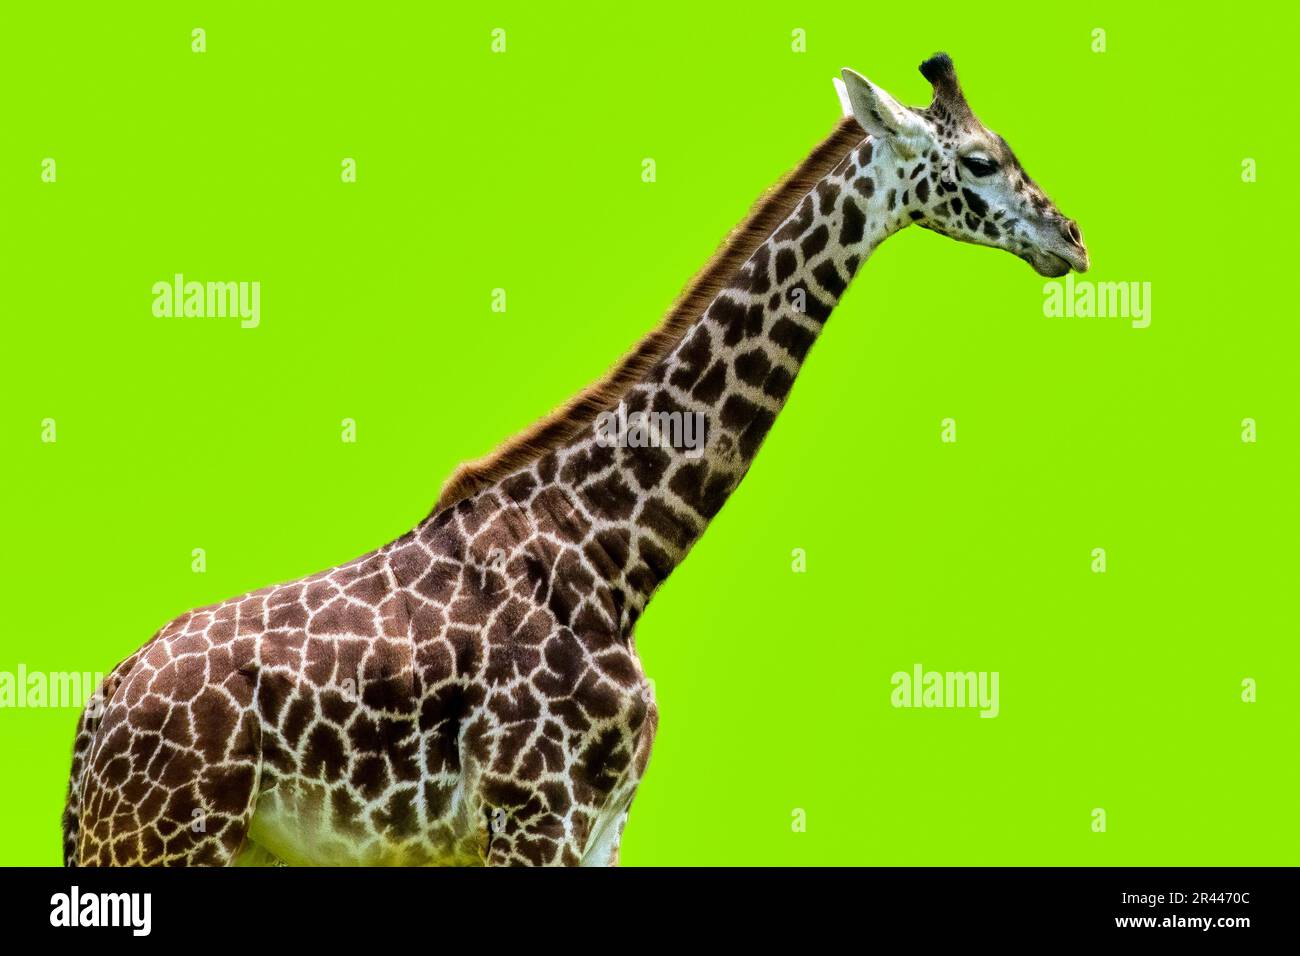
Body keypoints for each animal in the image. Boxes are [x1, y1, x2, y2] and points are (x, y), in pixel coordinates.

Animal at [64, 53, 1088, 866]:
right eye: (978, 159)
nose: (1071, 239)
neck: (616, 556)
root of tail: (95, 713)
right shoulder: (537, 815)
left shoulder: (604, 825)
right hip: (164, 841)